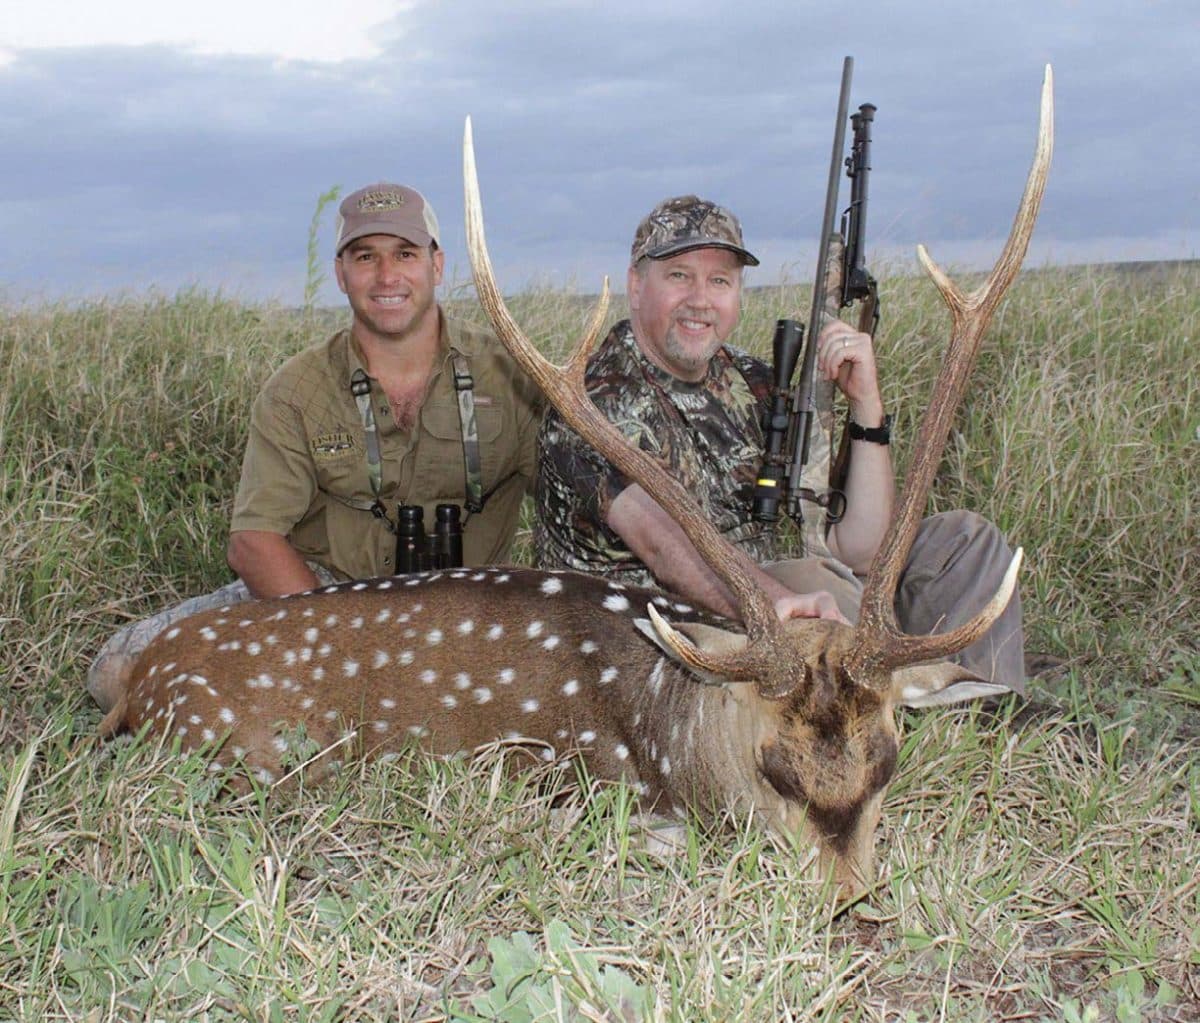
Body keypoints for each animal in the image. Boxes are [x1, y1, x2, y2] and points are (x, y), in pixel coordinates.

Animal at [99, 67, 1053, 900]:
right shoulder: (544, 768)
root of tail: (137, 680)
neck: (667, 728)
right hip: (230, 746)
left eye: (886, 760)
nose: (852, 903)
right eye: (773, 768)